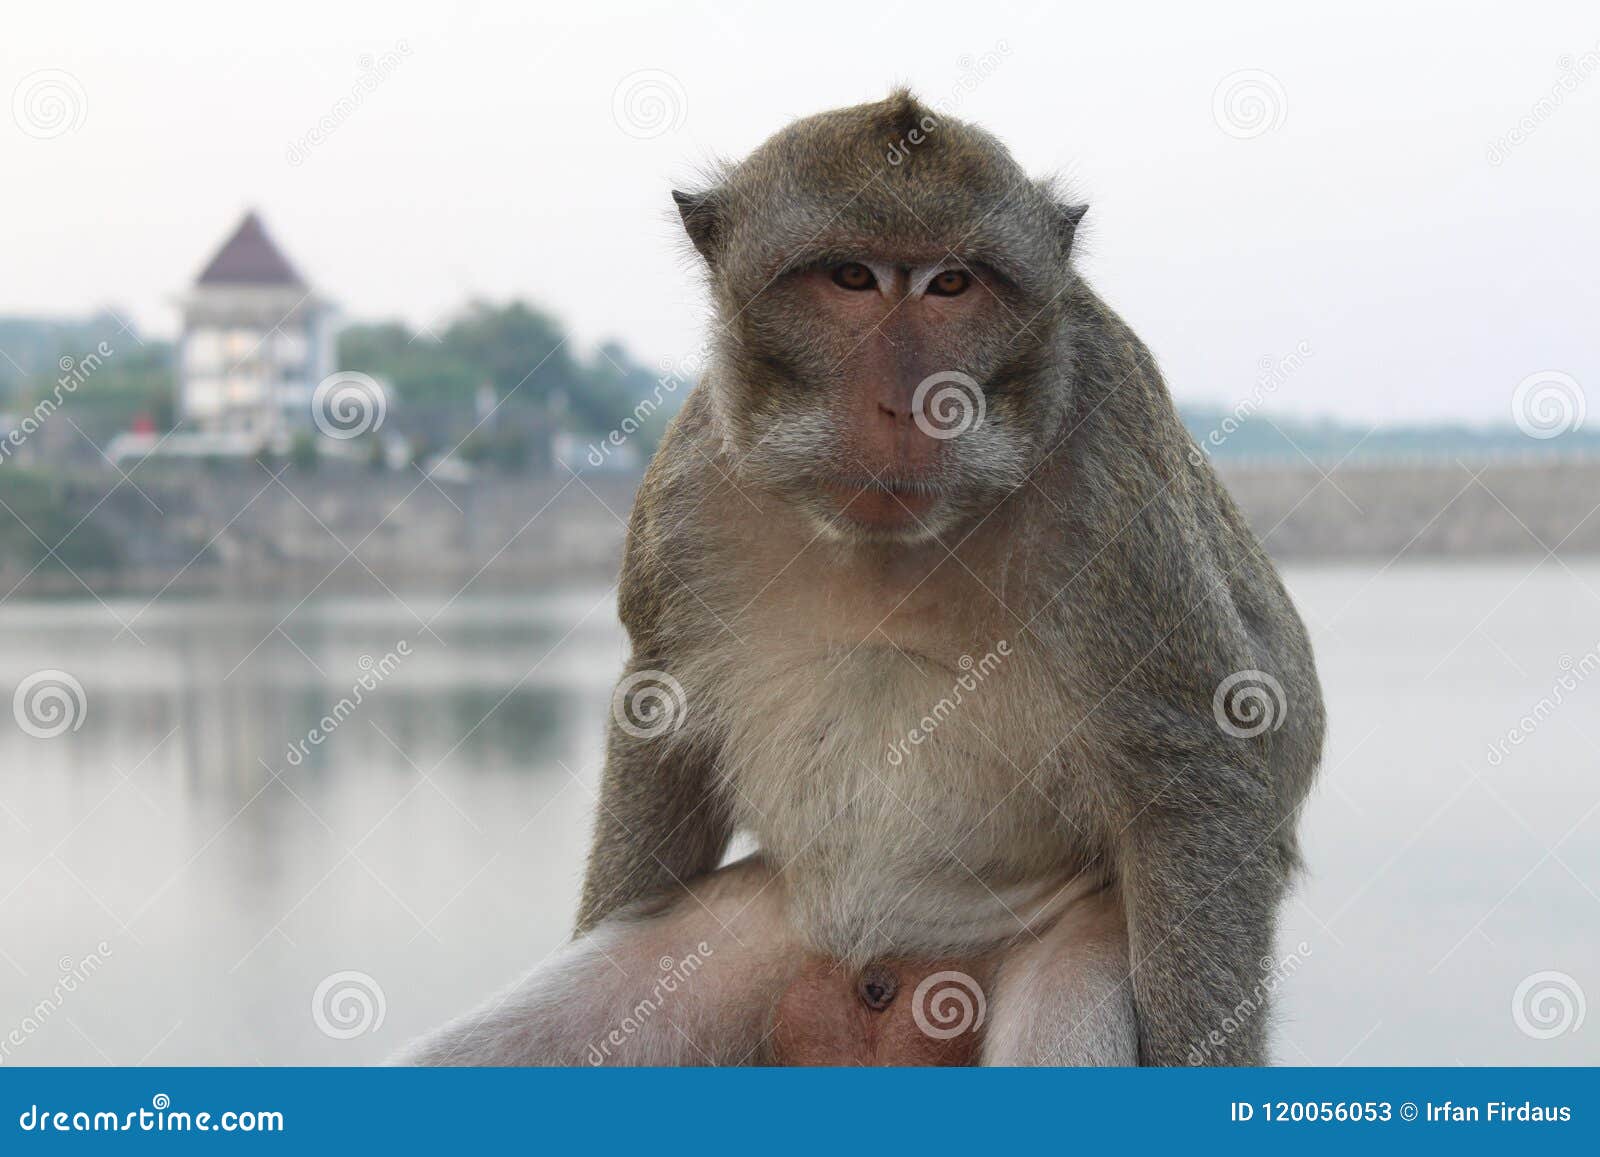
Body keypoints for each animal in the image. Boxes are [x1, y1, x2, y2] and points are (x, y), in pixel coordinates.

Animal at [400, 89, 1324, 1067]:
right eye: (849, 278)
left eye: (952, 285)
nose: (909, 403)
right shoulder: (689, 482)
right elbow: (660, 717)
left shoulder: (1114, 493)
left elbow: (1202, 766)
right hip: (758, 937)